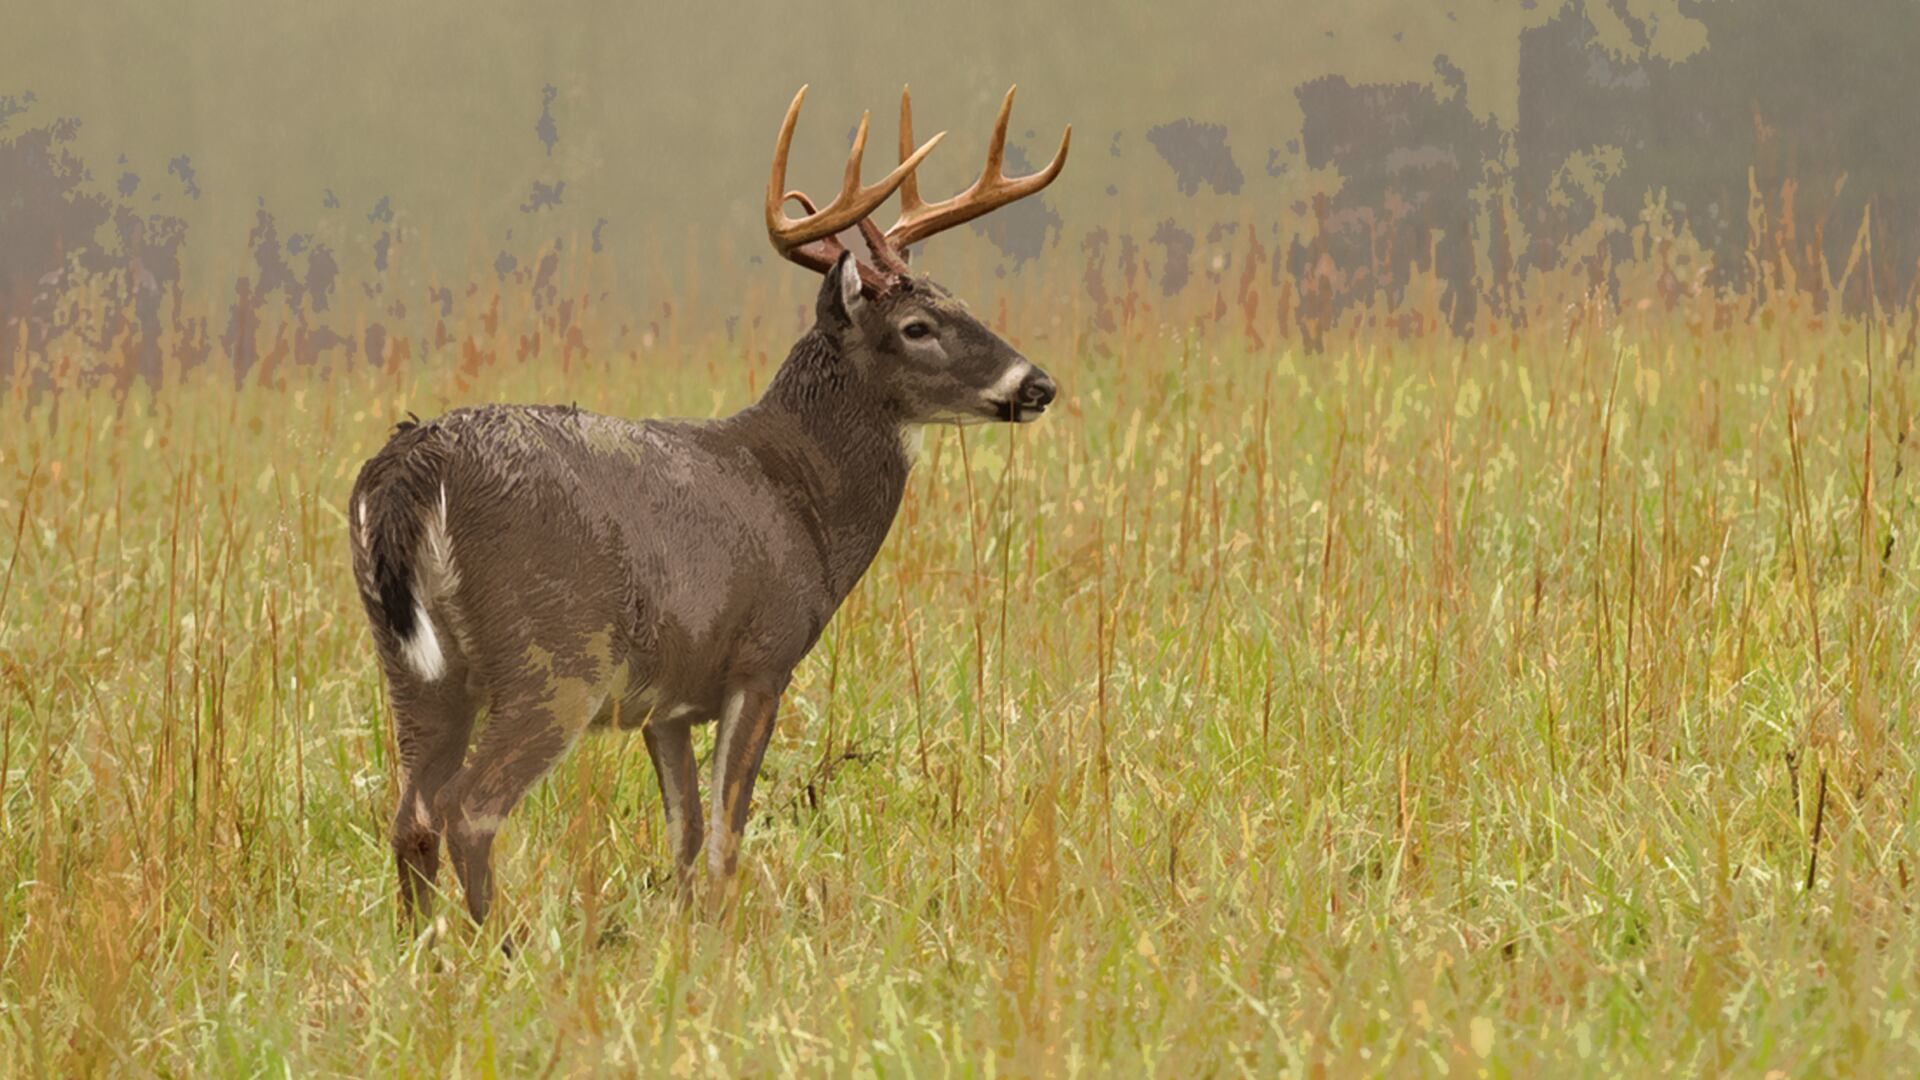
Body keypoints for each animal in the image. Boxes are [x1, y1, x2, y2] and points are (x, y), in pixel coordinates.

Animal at [348, 84, 1069, 929]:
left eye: (961, 301)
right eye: (916, 326)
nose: (1038, 384)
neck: (803, 501)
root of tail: (412, 463)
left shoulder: (666, 700)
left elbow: (686, 837)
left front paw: (684, 935)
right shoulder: (762, 657)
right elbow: (726, 838)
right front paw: (722, 939)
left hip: (412, 665)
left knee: (411, 815)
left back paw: (421, 947)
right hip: (553, 655)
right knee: (468, 808)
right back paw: (498, 944)